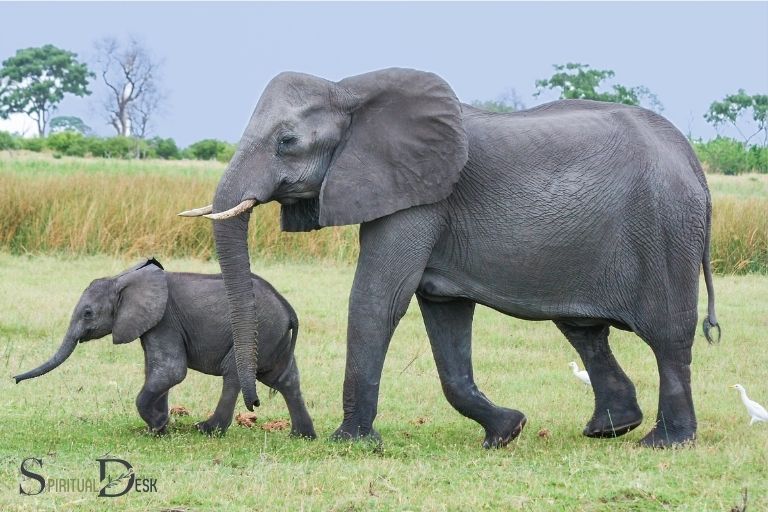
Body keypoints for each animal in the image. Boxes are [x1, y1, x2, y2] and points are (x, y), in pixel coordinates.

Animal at [14, 258, 316, 438]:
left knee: (234, 374)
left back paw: (206, 429)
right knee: (285, 379)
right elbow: (156, 371)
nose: (14, 379)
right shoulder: (152, 324)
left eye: (88, 313)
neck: (123, 279)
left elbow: (171, 371)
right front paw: (159, 426)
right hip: (273, 338)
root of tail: (288, 309)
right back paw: (301, 436)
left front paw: (157, 426)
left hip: (259, 331)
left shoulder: (165, 320)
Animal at [180, 67, 719, 448]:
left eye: (287, 142)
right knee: (584, 331)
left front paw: (351, 443)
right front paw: (506, 431)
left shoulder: (421, 196)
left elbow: (379, 298)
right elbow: (444, 316)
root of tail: (693, 161)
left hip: (666, 229)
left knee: (668, 337)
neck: (350, 90)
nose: (254, 403)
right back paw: (608, 430)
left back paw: (664, 443)